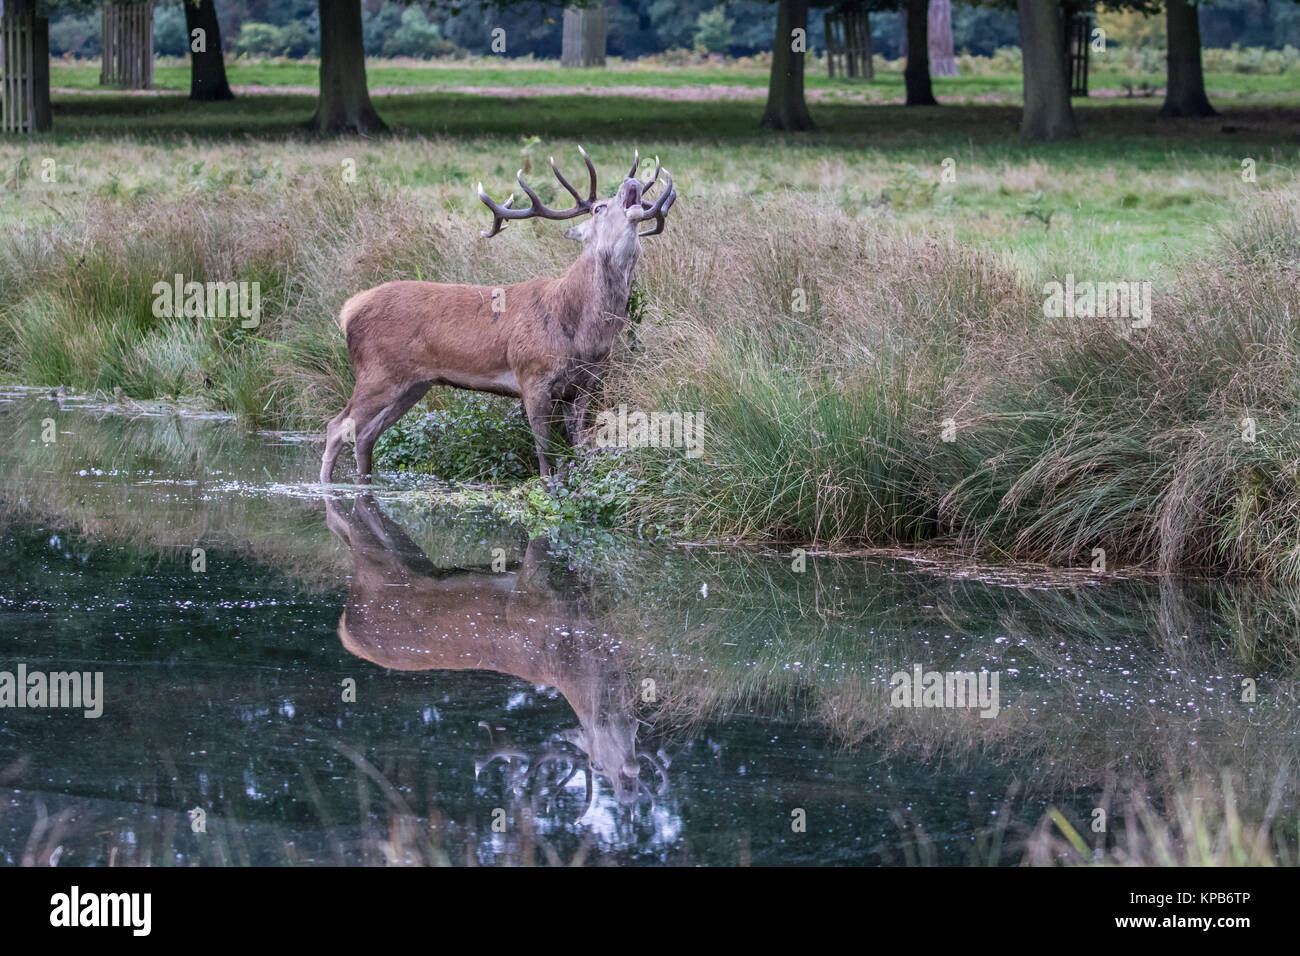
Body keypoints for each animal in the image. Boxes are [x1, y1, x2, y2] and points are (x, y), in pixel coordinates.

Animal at [319, 148, 676, 484]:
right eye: (598, 208)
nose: (630, 182)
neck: (581, 331)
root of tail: (349, 309)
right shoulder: (532, 375)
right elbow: (545, 457)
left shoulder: (586, 385)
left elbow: (577, 448)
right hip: (376, 371)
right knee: (336, 427)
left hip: (414, 384)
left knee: (366, 434)